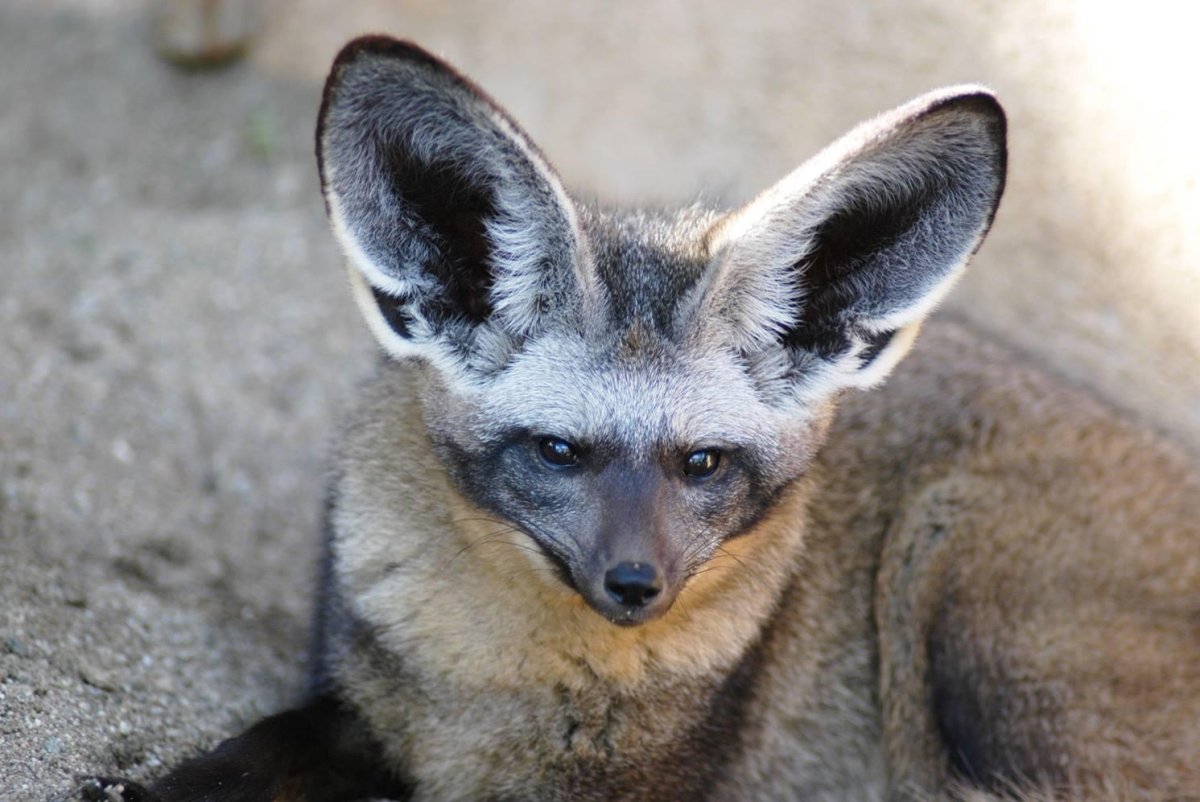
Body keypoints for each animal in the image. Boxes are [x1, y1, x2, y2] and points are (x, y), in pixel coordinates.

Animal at [82, 36, 1200, 802]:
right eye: (559, 452)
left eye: (703, 462)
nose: (636, 585)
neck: (495, 688)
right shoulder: (359, 700)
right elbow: (256, 747)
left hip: (957, 570)